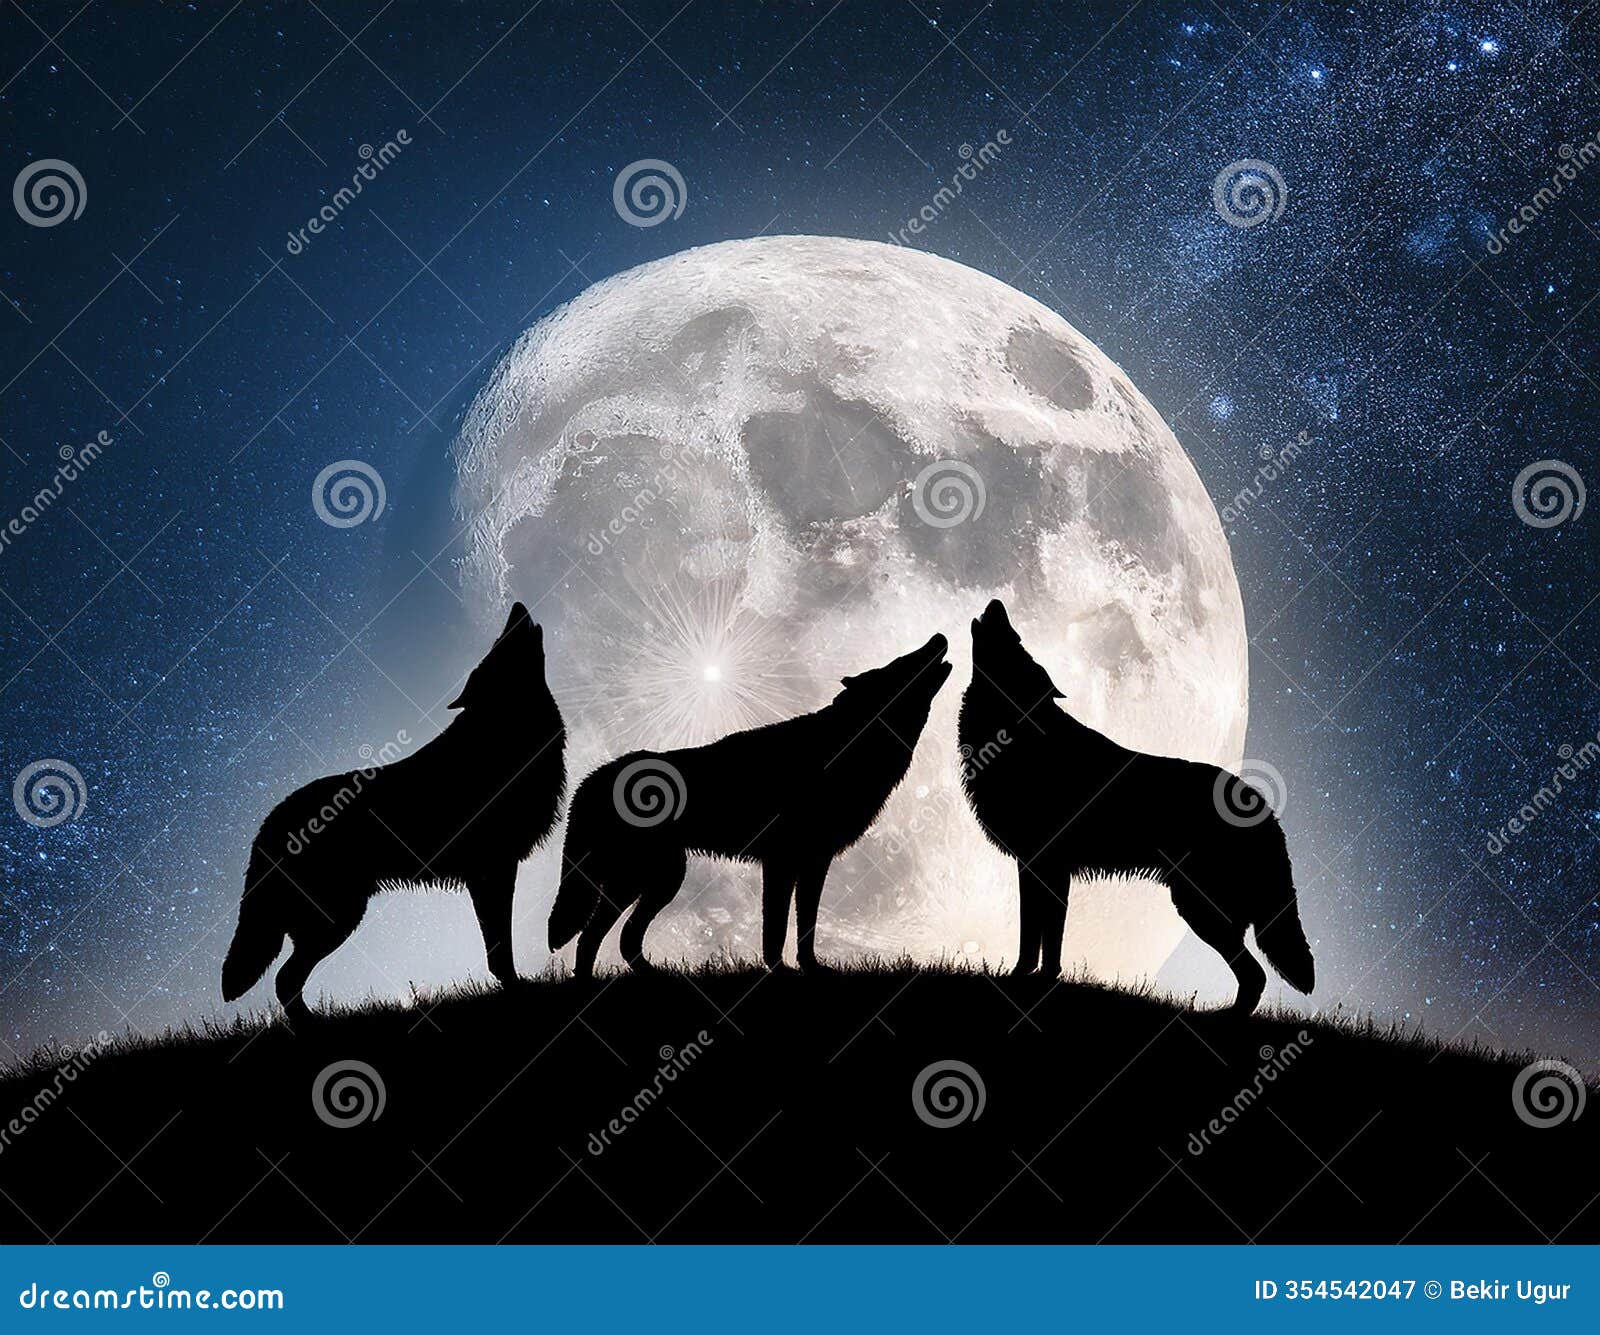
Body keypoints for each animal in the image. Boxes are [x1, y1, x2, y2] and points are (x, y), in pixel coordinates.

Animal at [221, 603, 566, 1021]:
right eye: (498, 646)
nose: (516, 606)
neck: (503, 737)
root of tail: (267, 824)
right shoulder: (493, 868)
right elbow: (500, 949)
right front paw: (517, 992)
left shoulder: (492, 870)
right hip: (338, 918)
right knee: (285, 979)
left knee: (286, 980)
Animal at [548, 633, 952, 978]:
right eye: (901, 663)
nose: (938, 637)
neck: (847, 748)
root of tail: (590, 780)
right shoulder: (782, 861)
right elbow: (775, 929)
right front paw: (779, 973)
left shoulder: (813, 863)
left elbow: (805, 926)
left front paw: (812, 969)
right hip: (642, 881)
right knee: (592, 937)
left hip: (662, 880)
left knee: (621, 940)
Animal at [959, 600, 1313, 1014]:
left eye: (1015, 641)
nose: (997, 604)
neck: (1019, 733)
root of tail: (1265, 809)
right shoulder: (1038, 868)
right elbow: (1041, 938)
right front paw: (1032, 979)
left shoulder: (1046, 865)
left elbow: (1041, 937)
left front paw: (1028, 983)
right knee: (1253, 975)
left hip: (1200, 909)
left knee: (1254, 975)